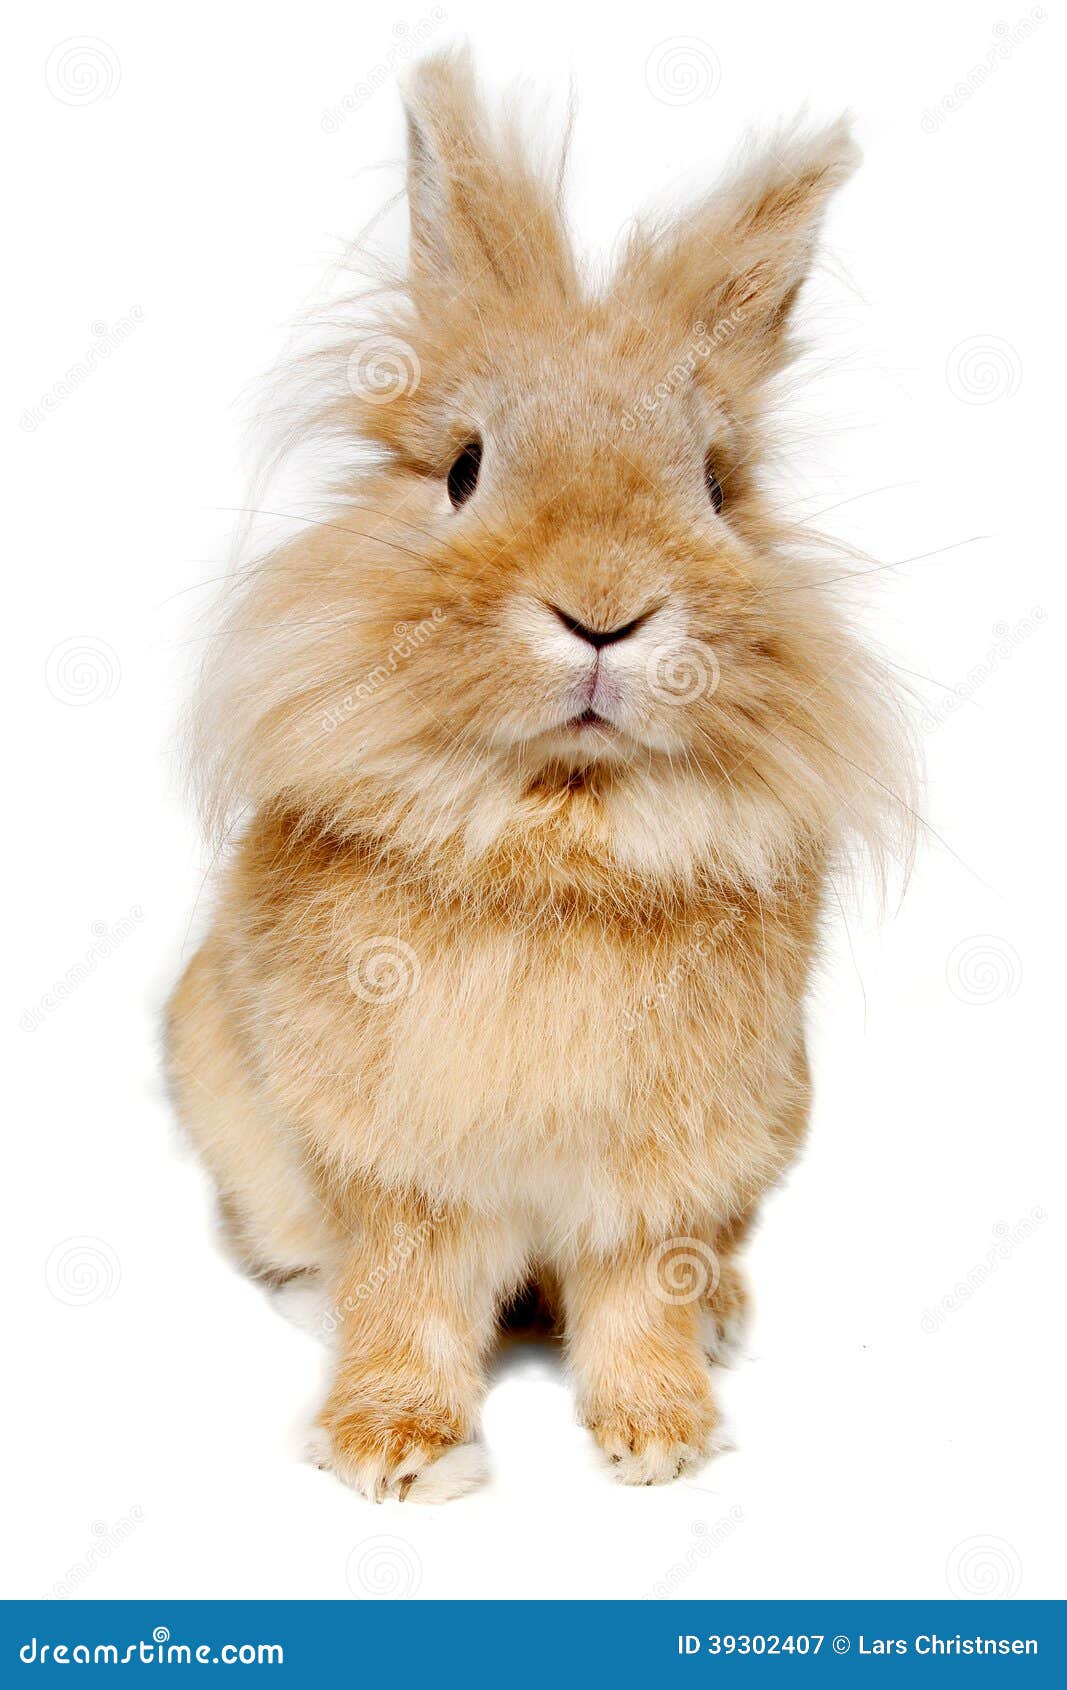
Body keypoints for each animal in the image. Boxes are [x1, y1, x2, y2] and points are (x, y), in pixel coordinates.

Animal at [167, 47, 914, 1502]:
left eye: (716, 485)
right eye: (462, 467)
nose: (602, 612)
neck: (556, 825)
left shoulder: (668, 1168)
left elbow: (638, 1291)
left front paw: (660, 1439)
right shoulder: (392, 1162)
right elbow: (403, 1294)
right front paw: (392, 1451)